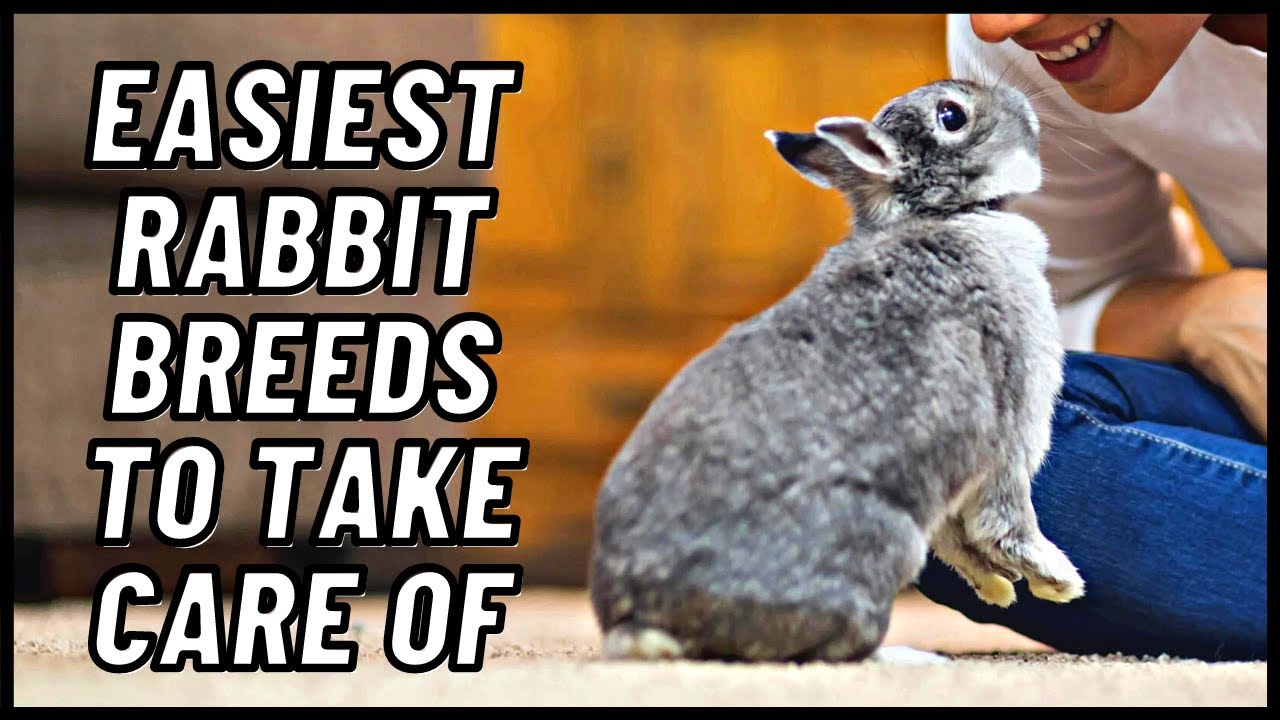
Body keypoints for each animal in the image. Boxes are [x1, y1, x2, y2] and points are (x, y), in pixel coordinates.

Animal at [589, 79, 1085, 663]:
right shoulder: (1014, 424)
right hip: (884, 543)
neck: (942, 214)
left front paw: (996, 589)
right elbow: (1002, 521)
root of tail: (643, 622)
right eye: (951, 116)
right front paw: (1060, 583)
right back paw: (910, 658)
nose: (1021, 99)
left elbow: (956, 540)